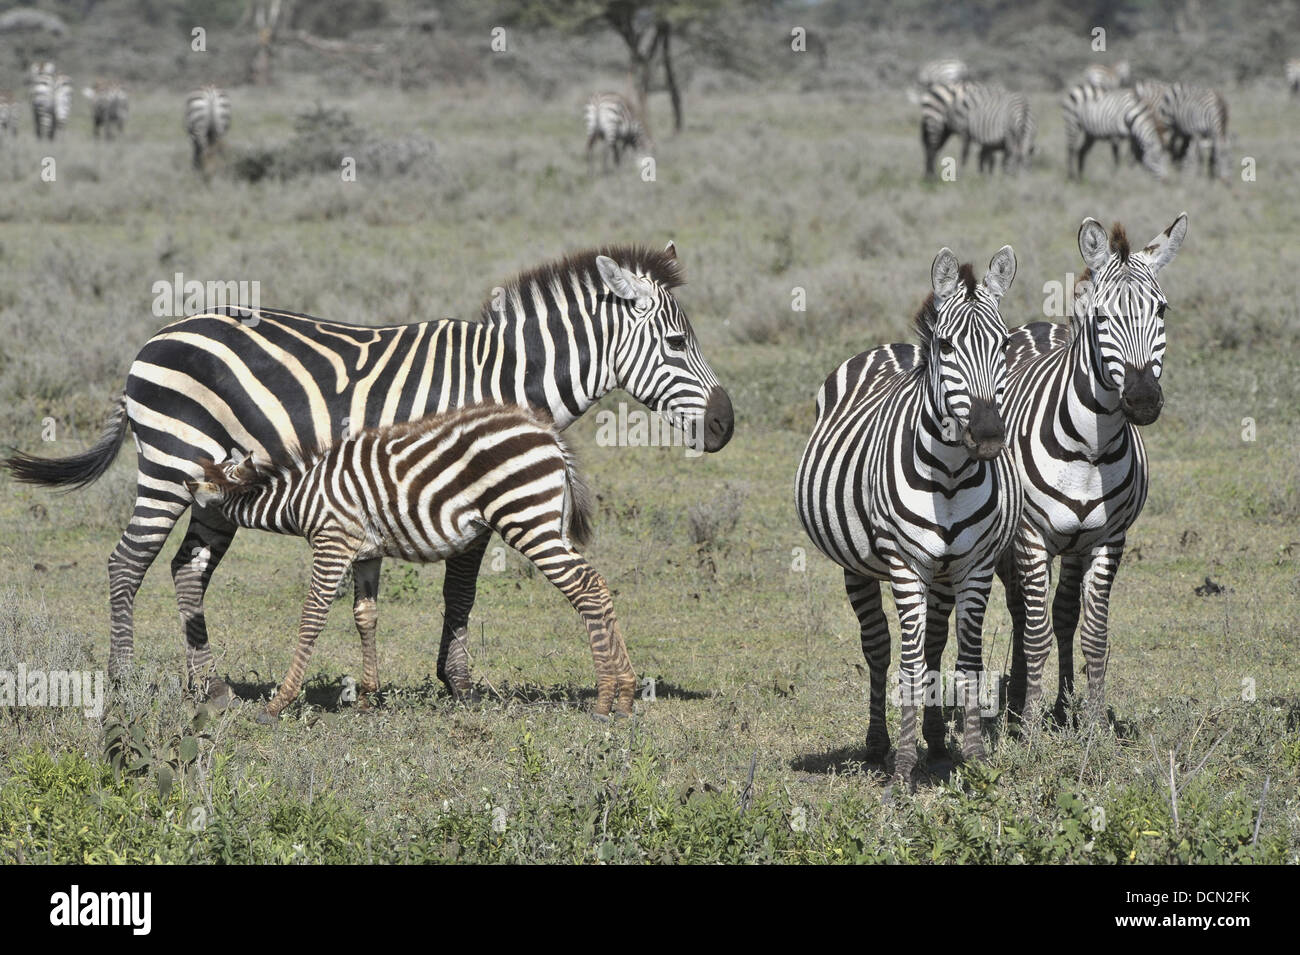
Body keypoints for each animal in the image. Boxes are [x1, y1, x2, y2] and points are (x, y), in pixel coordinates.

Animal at [186, 404, 636, 722]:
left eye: (209, 480)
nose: (187, 484)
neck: (302, 498)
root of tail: (548, 435)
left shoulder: (333, 543)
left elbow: (312, 616)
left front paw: (277, 704)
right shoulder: (366, 553)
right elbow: (365, 615)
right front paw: (367, 697)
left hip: (526, 518)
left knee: (584, 587)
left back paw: (604, 701)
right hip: (548, 521)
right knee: (597, 584)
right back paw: (626, 696)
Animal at [795, 246, 1021, 782]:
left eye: (1004, 346)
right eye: (946, 346)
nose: (987, 436)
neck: (951, 474)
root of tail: (891, 348)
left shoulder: (975, 565)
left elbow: (966, 661)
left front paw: (974, 760)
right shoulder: (905, 564)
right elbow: (911, 667)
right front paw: (900, 772)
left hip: (942, 571)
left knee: (935, 642)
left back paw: (936, 742)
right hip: (857, 564)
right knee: (878, 645)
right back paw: (878, 744)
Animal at [997, 214, 1188, 726]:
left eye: (1162, 311)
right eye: (1102, 317)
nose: (1142, 401)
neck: (1090, 449)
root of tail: (1039, 326)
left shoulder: (1108, 537)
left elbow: (1094, 635)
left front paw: (1095, 726)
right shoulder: (1030, 538)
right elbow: (1035, 635)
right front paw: (1031, 730)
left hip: (1075, 544)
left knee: (1063, 614)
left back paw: (1063, 705)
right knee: (1022, 613)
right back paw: (1020, 703)